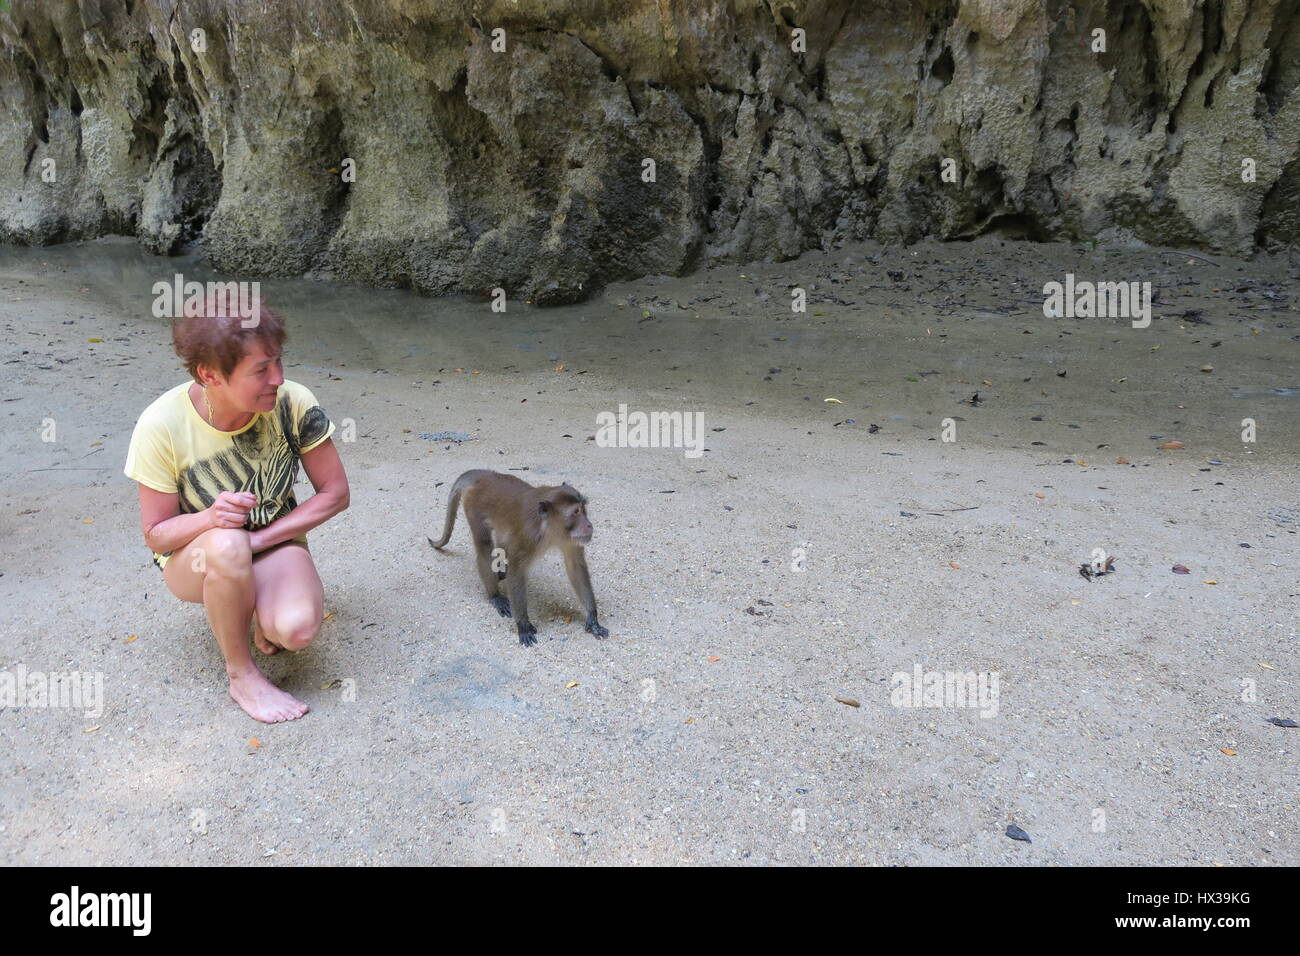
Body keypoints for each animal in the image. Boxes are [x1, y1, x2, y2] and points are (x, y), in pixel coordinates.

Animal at [428, 469, 609, 646]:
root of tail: (486, 475)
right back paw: (495, 596)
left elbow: (575, 566)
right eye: (576, 512)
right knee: (484, 545)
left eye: (584, 509)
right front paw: (523, 625)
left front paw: (593, 618)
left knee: (502, 540)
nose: (589, 524)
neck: (548, 528)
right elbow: (517, 572)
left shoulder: (569, 539)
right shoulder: (527, 537)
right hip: (474, 505)